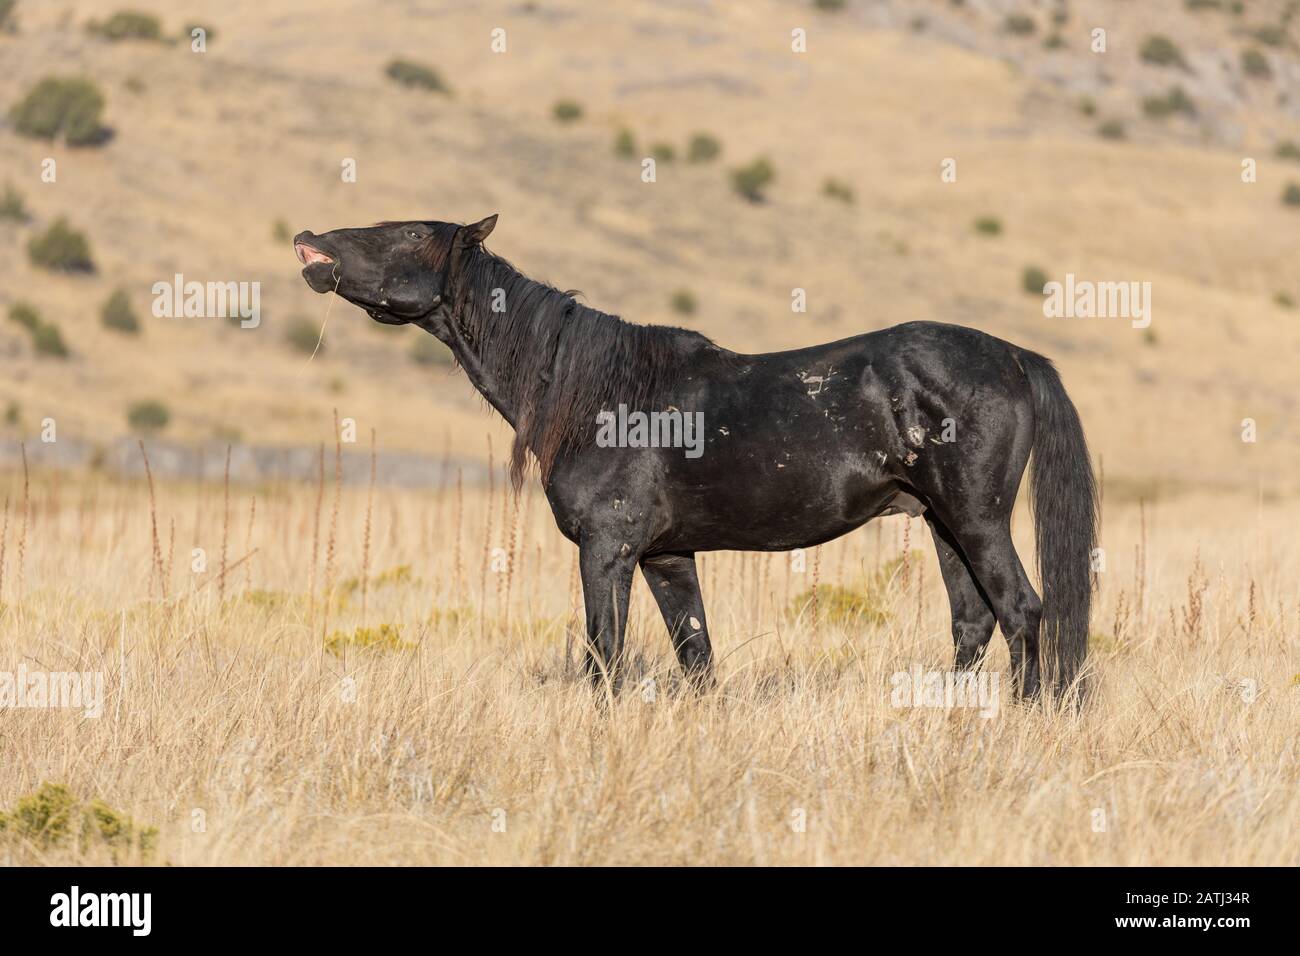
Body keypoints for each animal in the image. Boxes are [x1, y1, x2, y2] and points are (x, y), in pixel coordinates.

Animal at [294, 215, 1097, 700]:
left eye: (405, 234)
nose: (309, 241)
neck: (598, 394)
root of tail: (1016, 358)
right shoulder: (667, 558)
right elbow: (696, 657)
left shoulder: (608, 551)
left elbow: (604, 659)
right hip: (940, 523)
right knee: (972, 623)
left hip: (976, 519)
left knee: (1021, 610)